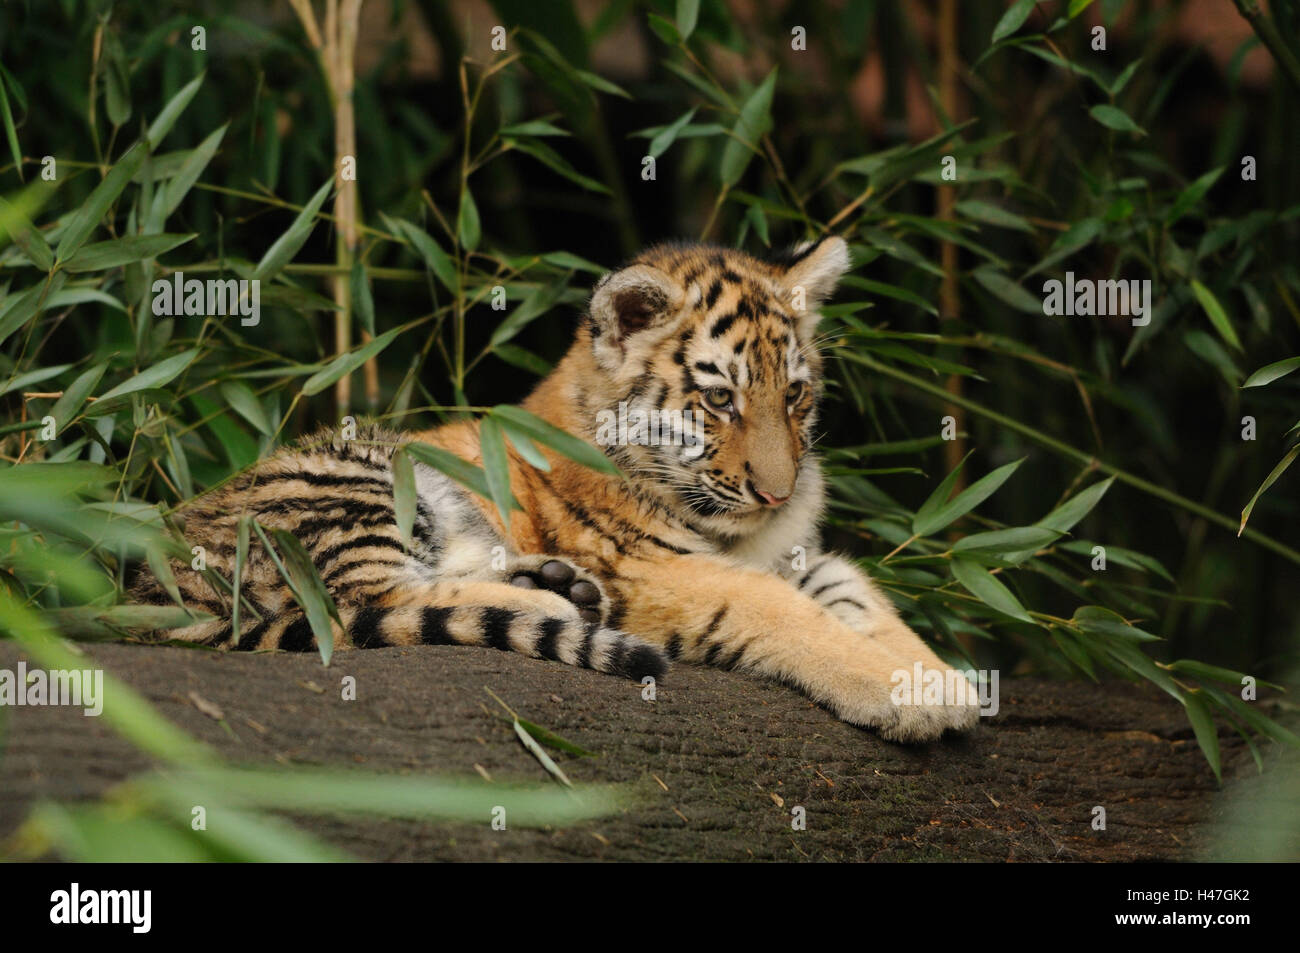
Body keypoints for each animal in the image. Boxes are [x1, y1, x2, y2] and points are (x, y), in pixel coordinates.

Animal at [131, 236, 980, 742]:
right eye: (720, 400)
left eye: (795, 396)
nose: (776, 493)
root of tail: (146, 580)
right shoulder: (655, 570)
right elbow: (784, 611)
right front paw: (901, 695)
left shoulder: (794, 553)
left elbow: (860, 595)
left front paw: (941, 681)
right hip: (354, 475)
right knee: (362, 602)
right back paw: (556, 605)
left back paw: (555, 587)